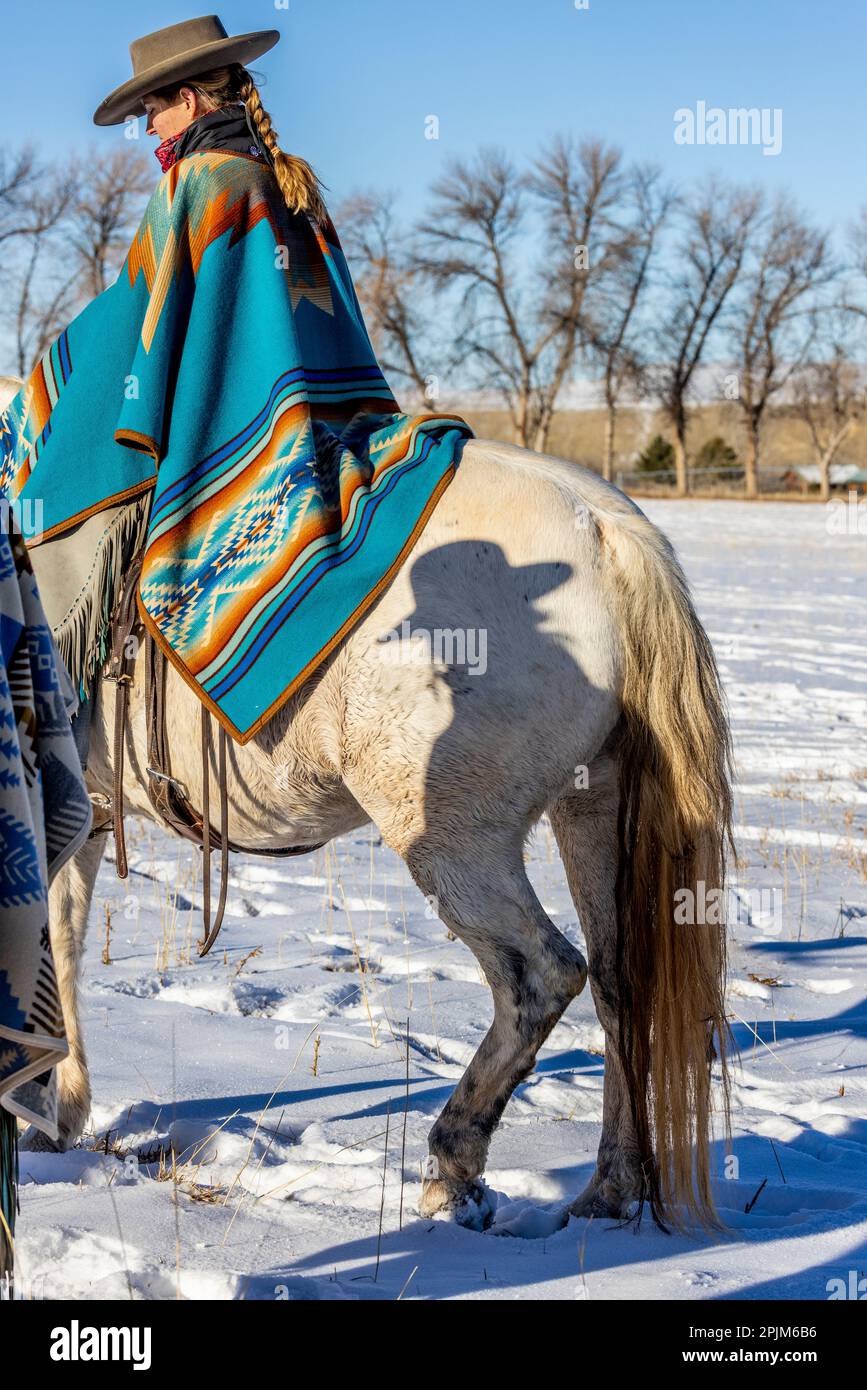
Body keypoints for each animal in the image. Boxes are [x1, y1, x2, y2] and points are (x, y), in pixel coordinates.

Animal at [1, 376, 732, 1230]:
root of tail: (602, 529)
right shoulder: (81, 820)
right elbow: (62, 945)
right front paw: (57, 1109)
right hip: (591, 810)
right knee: (620, 983)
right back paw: (606, 1191)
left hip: (454, 841)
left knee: (543, 975)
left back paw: (454, 1164)